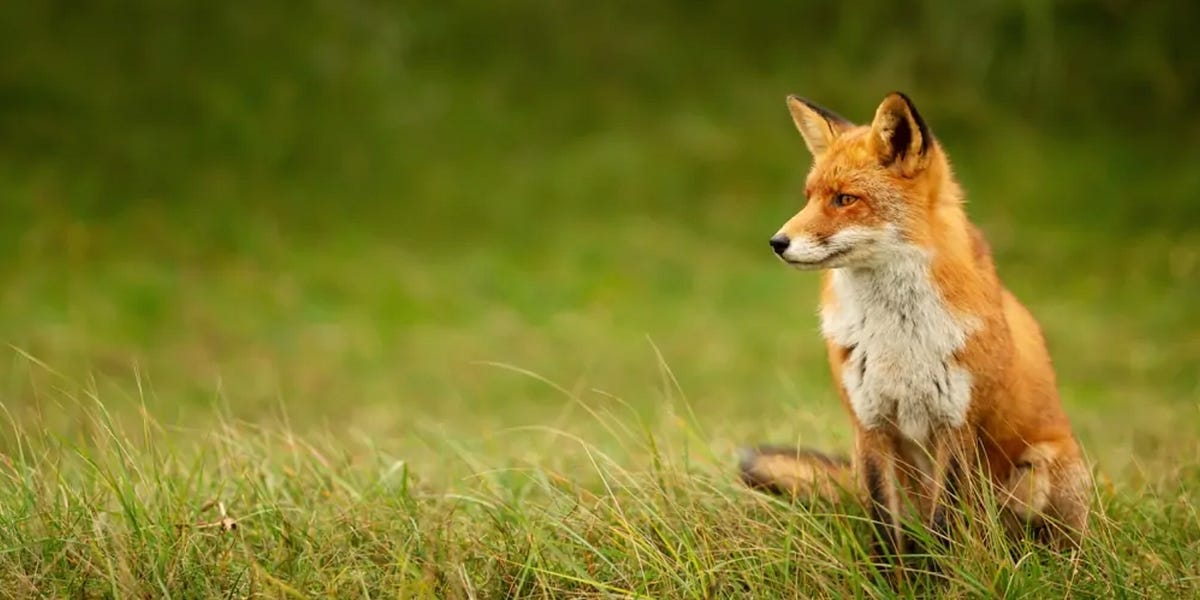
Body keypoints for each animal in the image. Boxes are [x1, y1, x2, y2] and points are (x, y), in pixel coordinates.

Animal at [739, 92, 1092, 553]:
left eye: (845, 199)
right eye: (809, 196)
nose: (777, 242)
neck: (897, 338)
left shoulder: (955, 428)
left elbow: (944, 529)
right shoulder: (870, 426)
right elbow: (884, 531)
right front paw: (889, 573)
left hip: (1043, 468)